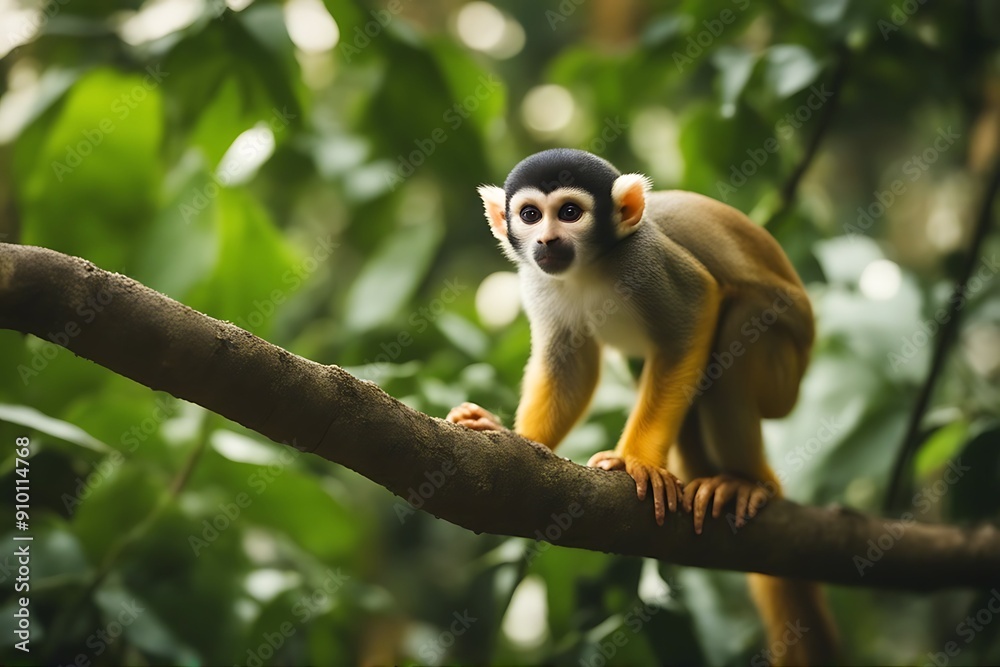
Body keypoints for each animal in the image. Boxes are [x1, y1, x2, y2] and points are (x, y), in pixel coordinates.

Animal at [445, 148, 837, 666]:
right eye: (530, 215)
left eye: (569, 212)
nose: (547, 239)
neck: (590, 267)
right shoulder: (537, 278)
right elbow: (571, 362)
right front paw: (517, 439)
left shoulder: (645, 262)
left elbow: (696, 311)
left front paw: (637, 462)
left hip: (783, 376)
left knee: (737, 328)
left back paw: (748, 481)